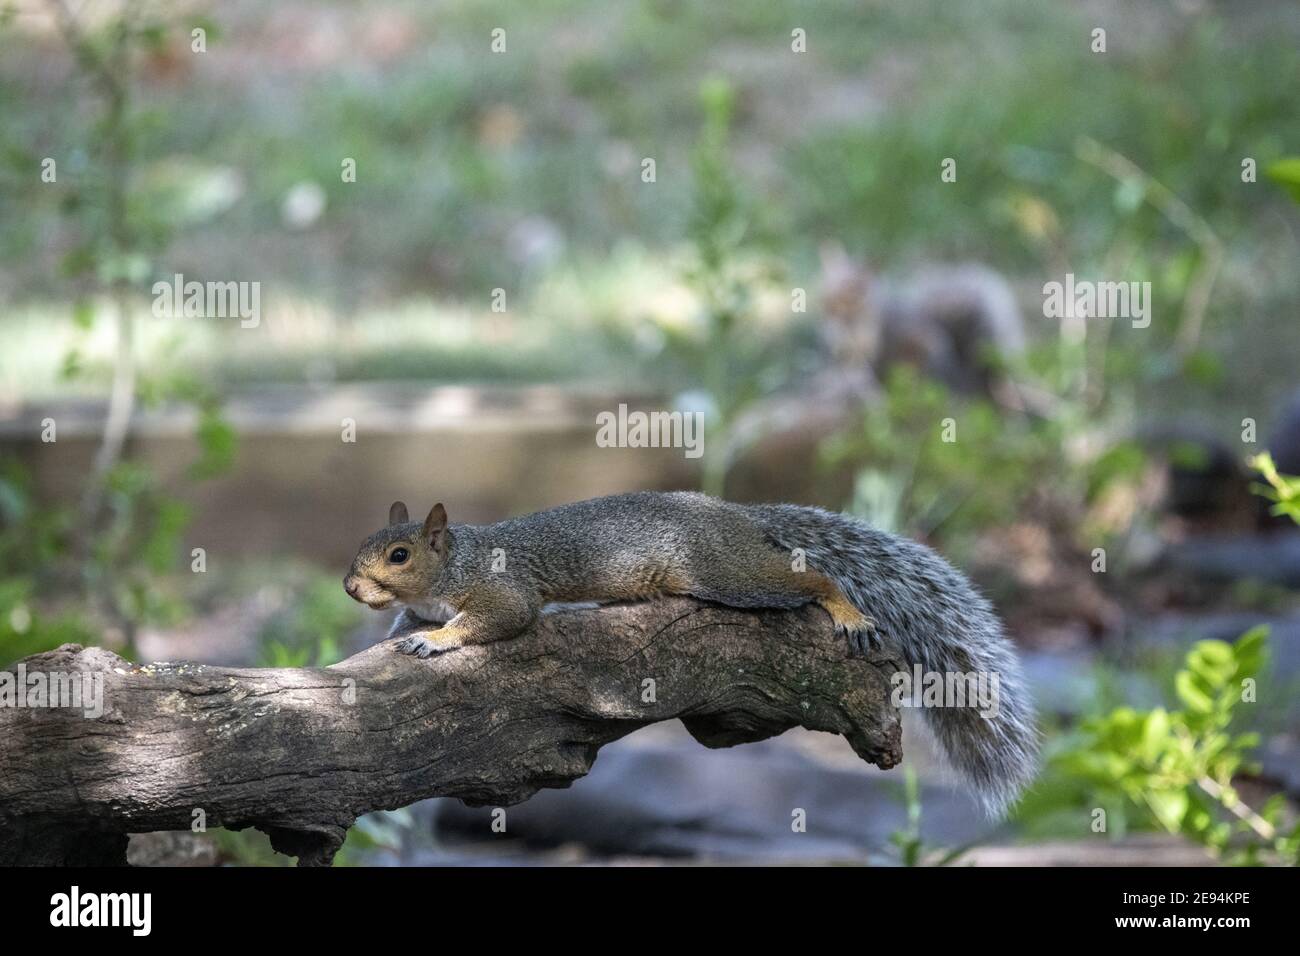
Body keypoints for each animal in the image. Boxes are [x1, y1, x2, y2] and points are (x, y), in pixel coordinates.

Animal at [343, 491, 1038, 814]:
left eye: (400, 554)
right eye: (366, 544)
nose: (350, 587)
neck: (450, 564)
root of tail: (739, 518)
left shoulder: (504, 590)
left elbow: (497, 619)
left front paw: (435, 640)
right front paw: (396, 632)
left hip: (729, 572)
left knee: (811, 577)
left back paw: (845, 608)